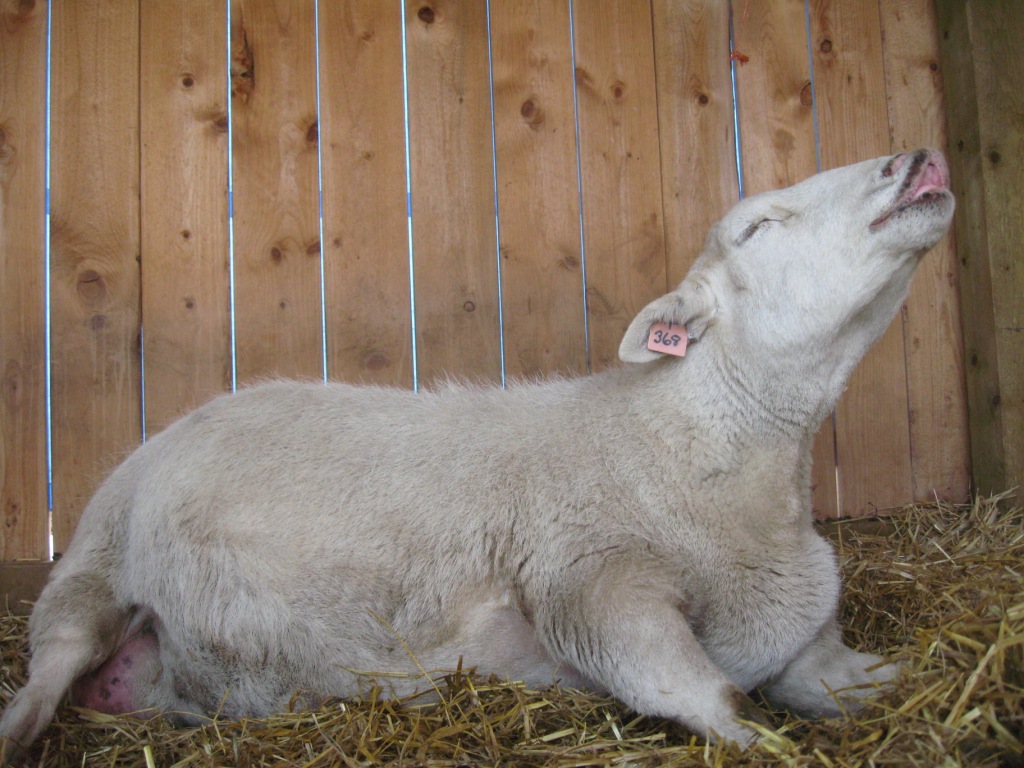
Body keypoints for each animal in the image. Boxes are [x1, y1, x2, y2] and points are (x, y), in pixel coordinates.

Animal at [0, 148, 954, 757]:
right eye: (757, 228)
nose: (916, 161)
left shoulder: (806, 641)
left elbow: (868, 676)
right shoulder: (590, 580)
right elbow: (701, 691)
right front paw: (764, 740)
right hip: (91, 568)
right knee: (49, 661)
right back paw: (20, 731)